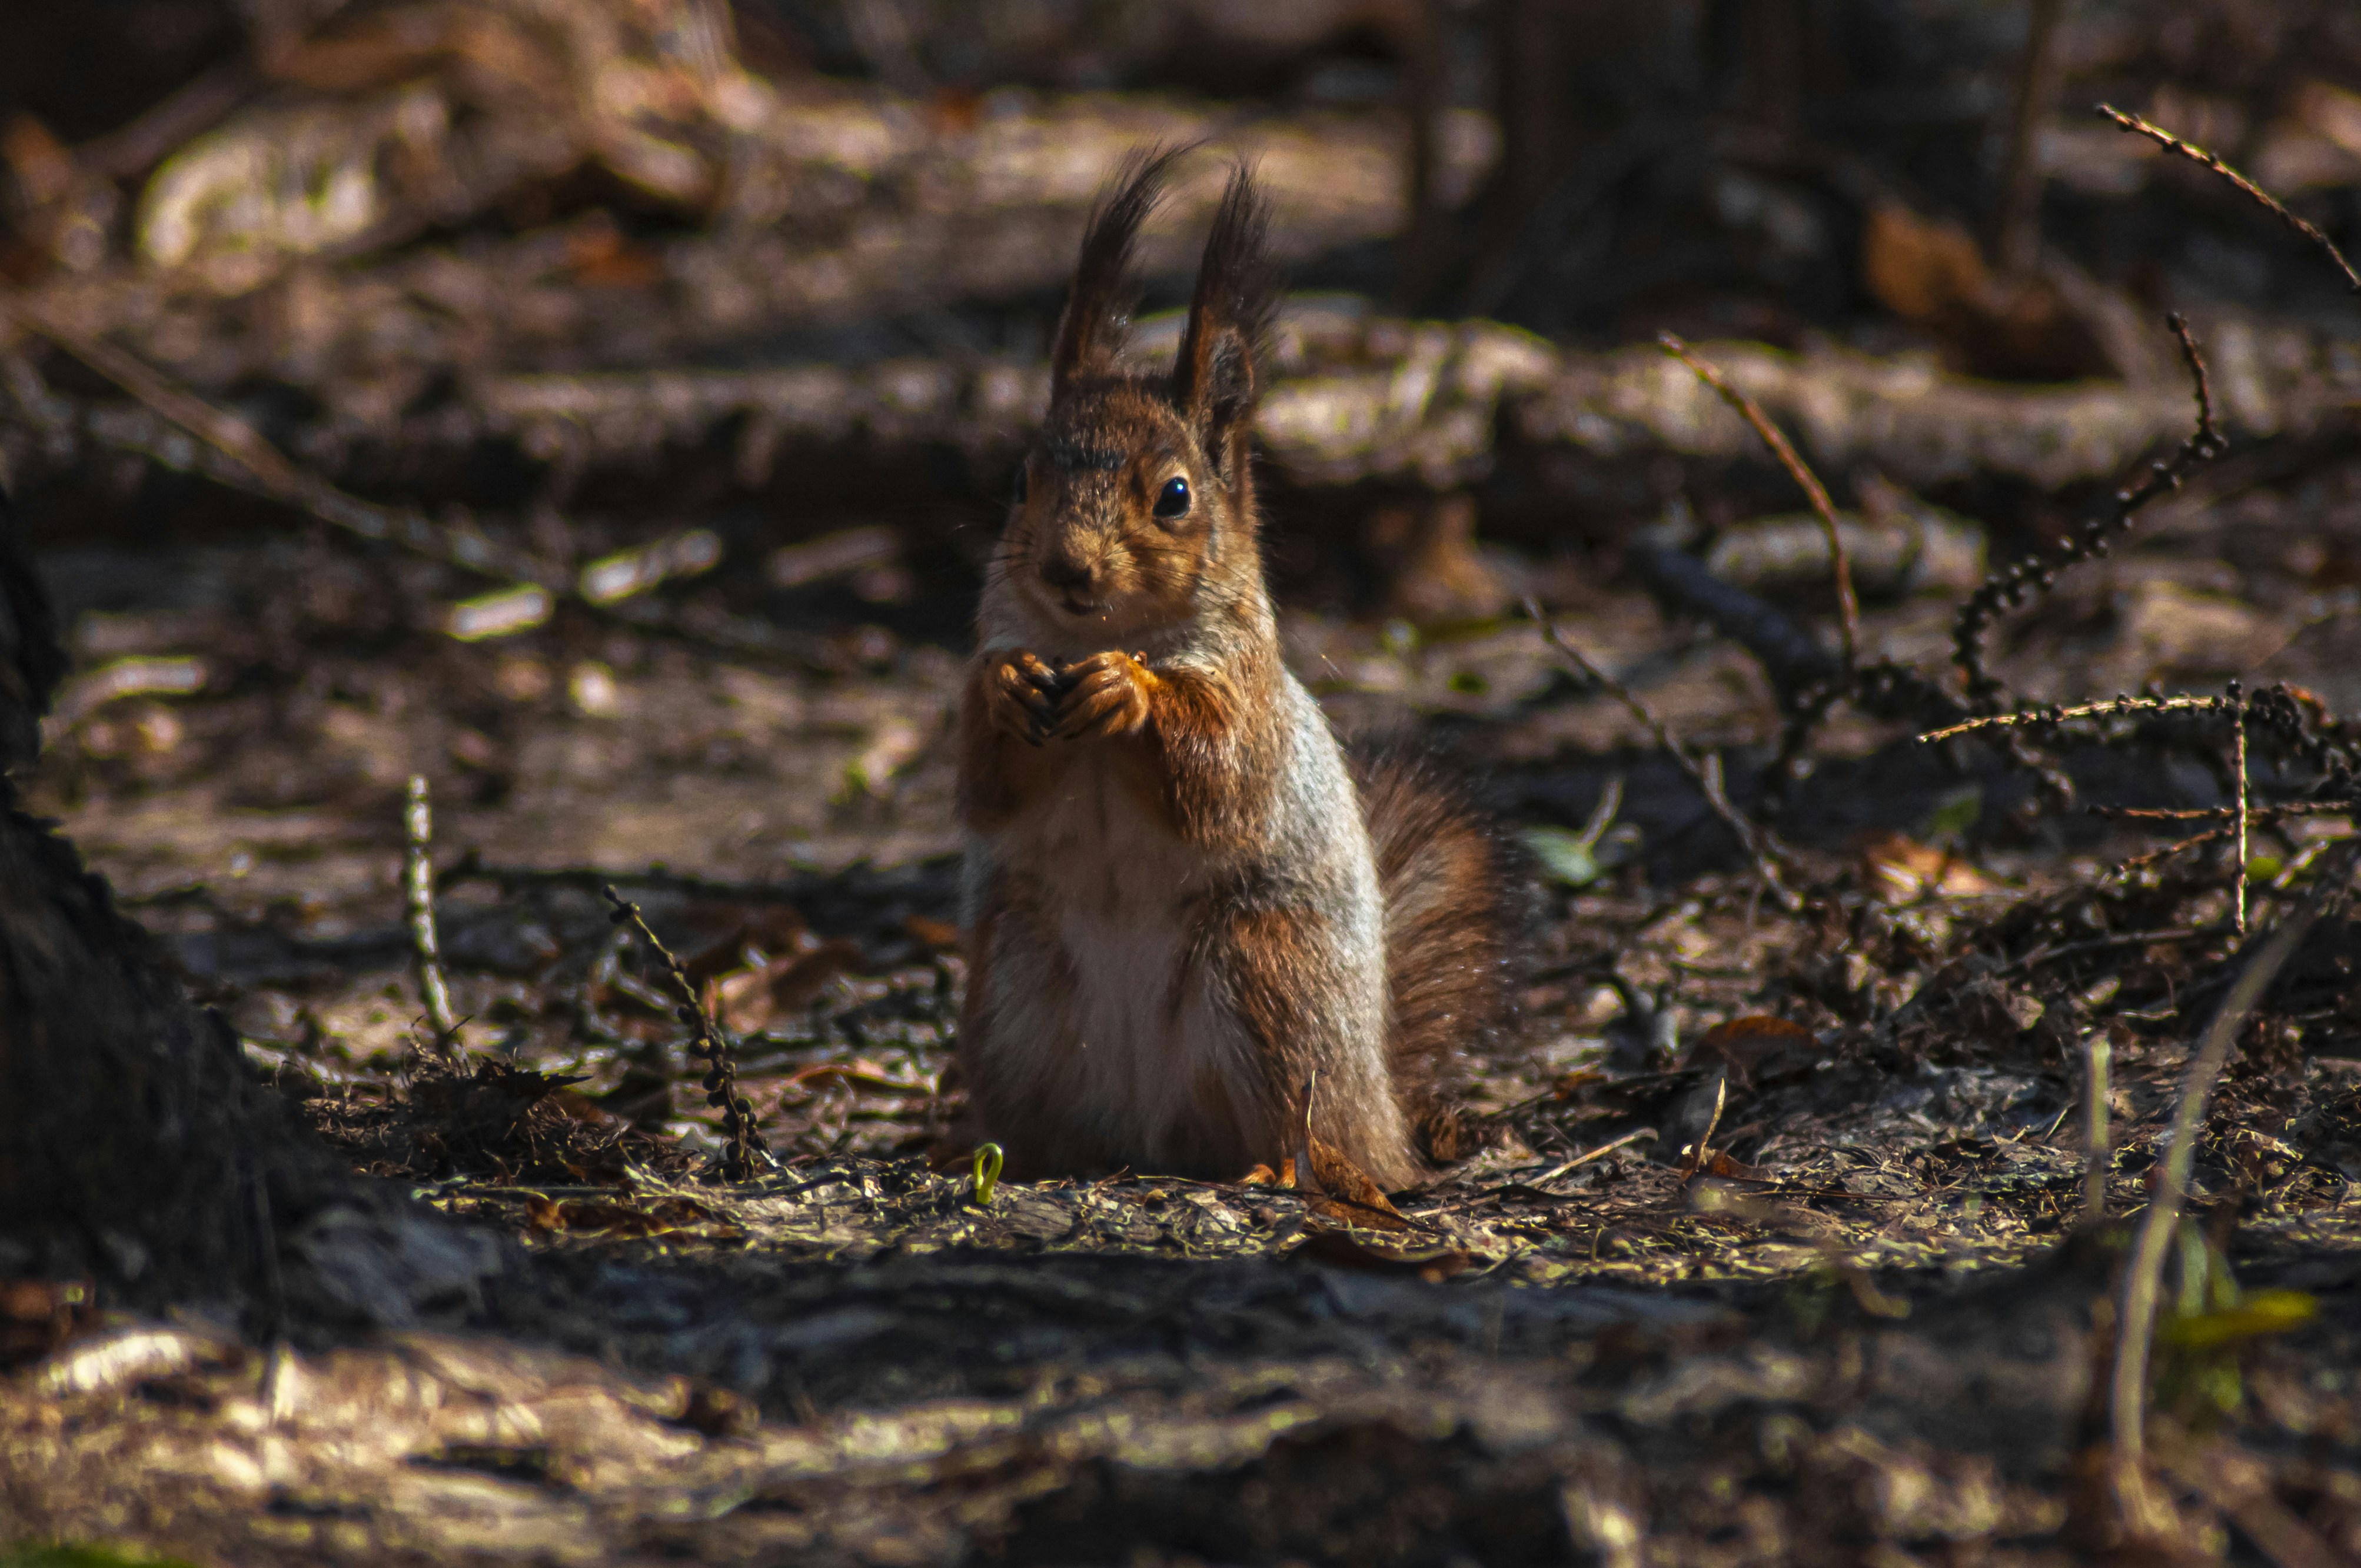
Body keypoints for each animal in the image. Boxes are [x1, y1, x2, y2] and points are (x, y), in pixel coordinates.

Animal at [953, 149, 1520, 1190]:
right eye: (1020, 482)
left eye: (1176, 496)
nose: (1065, 569)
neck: (1100, 632)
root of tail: (1383, 1107)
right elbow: (984, 782)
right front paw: (1007, 691)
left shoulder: (1246, 691)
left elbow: (1219, 773)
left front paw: (1130, 692)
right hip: (1018, 974)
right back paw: (1026, 1159)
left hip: (1264, 971)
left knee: (1301, 1129)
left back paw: (1289, 1168)